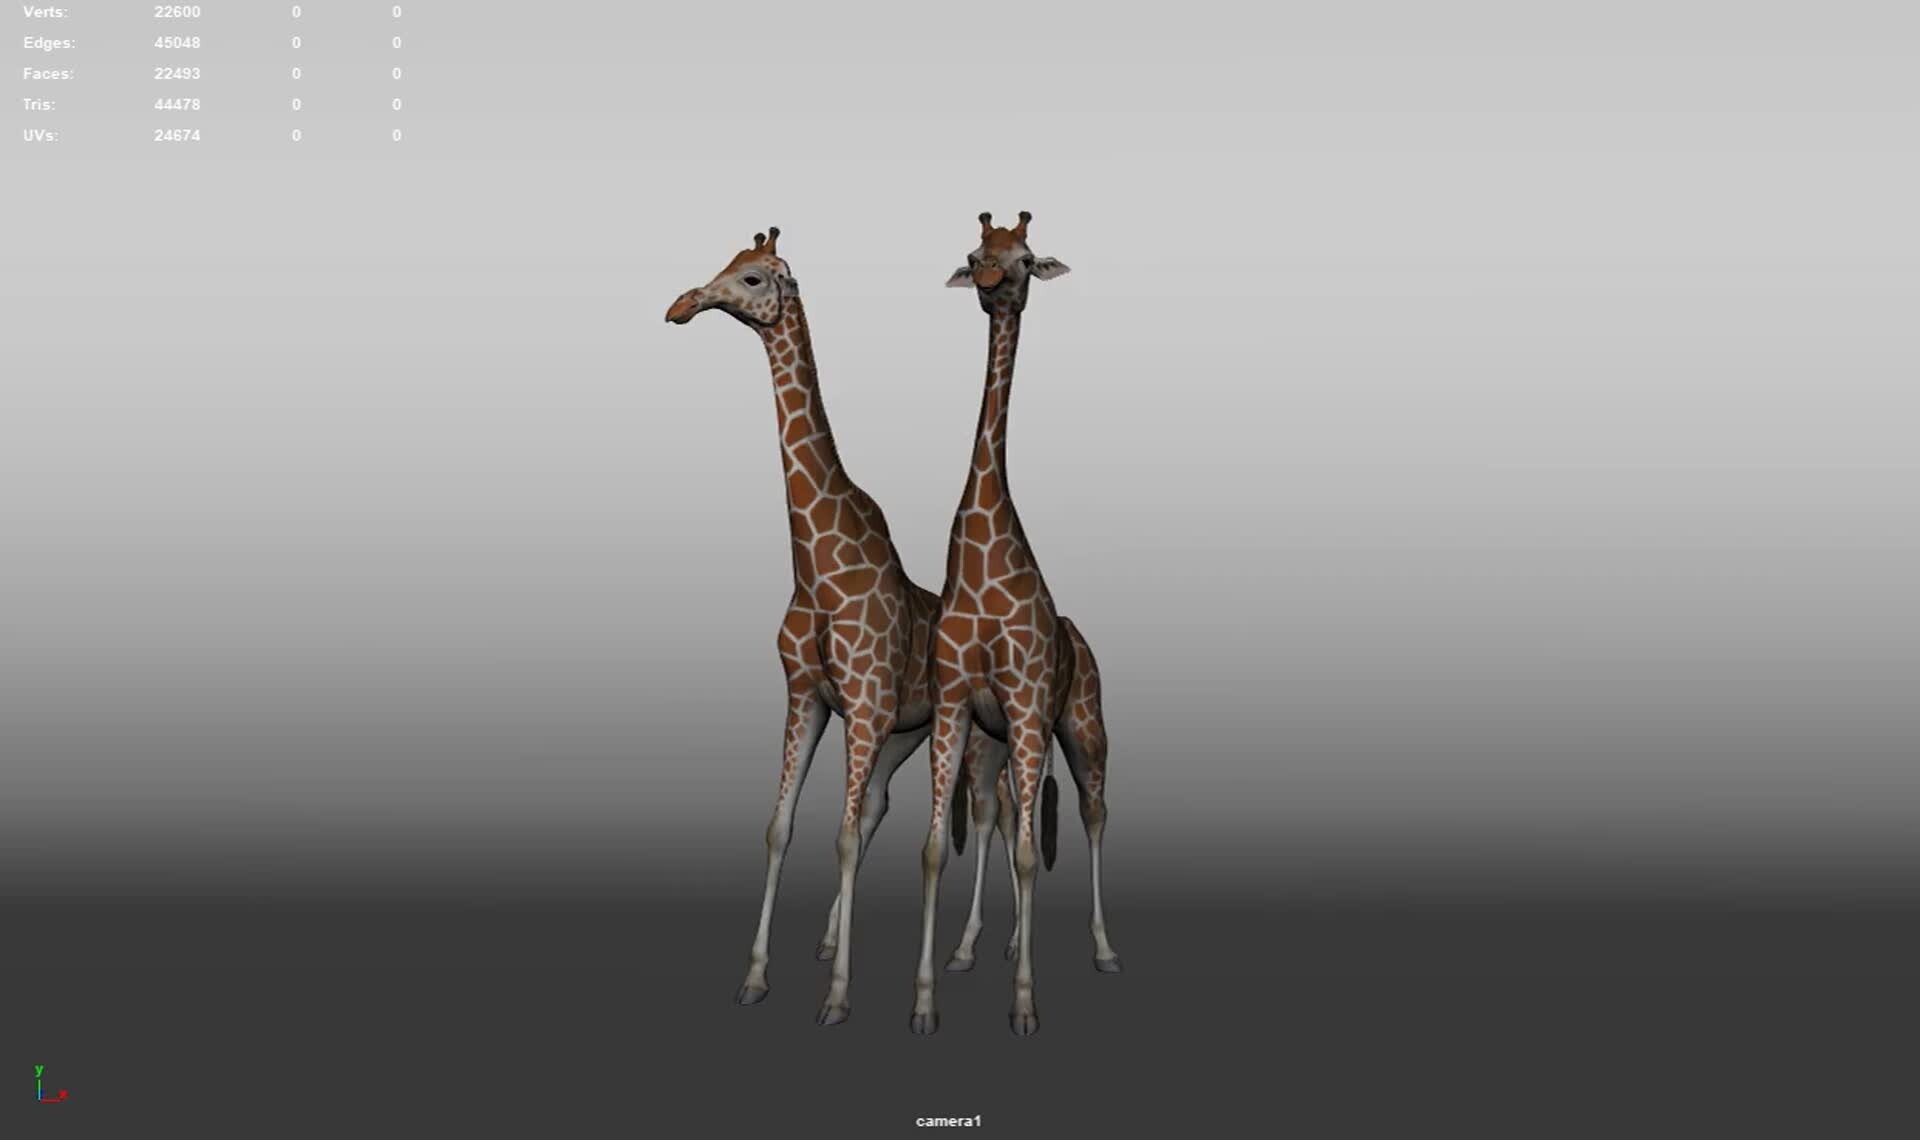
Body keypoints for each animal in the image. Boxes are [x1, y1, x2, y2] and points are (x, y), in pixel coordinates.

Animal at [665, 227, 1009, 1026]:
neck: (816, 562)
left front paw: (840, 996)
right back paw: (832, 940)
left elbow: (845, 837)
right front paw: (758, 976)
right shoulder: (810, 697)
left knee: (988, 818)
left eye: (753, 277)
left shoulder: (863, 703)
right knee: (883, 806)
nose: (683, 305)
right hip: (902, 735)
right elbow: (783, 828)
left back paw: (975, 948)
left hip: (968, 739)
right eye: (727, 265)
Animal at [910, 211, 1122, 1037]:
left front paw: (1026, 1005)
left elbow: (1036, 856)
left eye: (1028, 259)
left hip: (1082, 728)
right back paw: (982, 944)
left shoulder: (1031, 709)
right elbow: (939, 849)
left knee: (1092, 815)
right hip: (994, 746)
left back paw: (1102, 950)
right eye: (975, 254)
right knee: (1002, 815)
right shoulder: (956, 708)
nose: (993, 282)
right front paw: (927, 999)